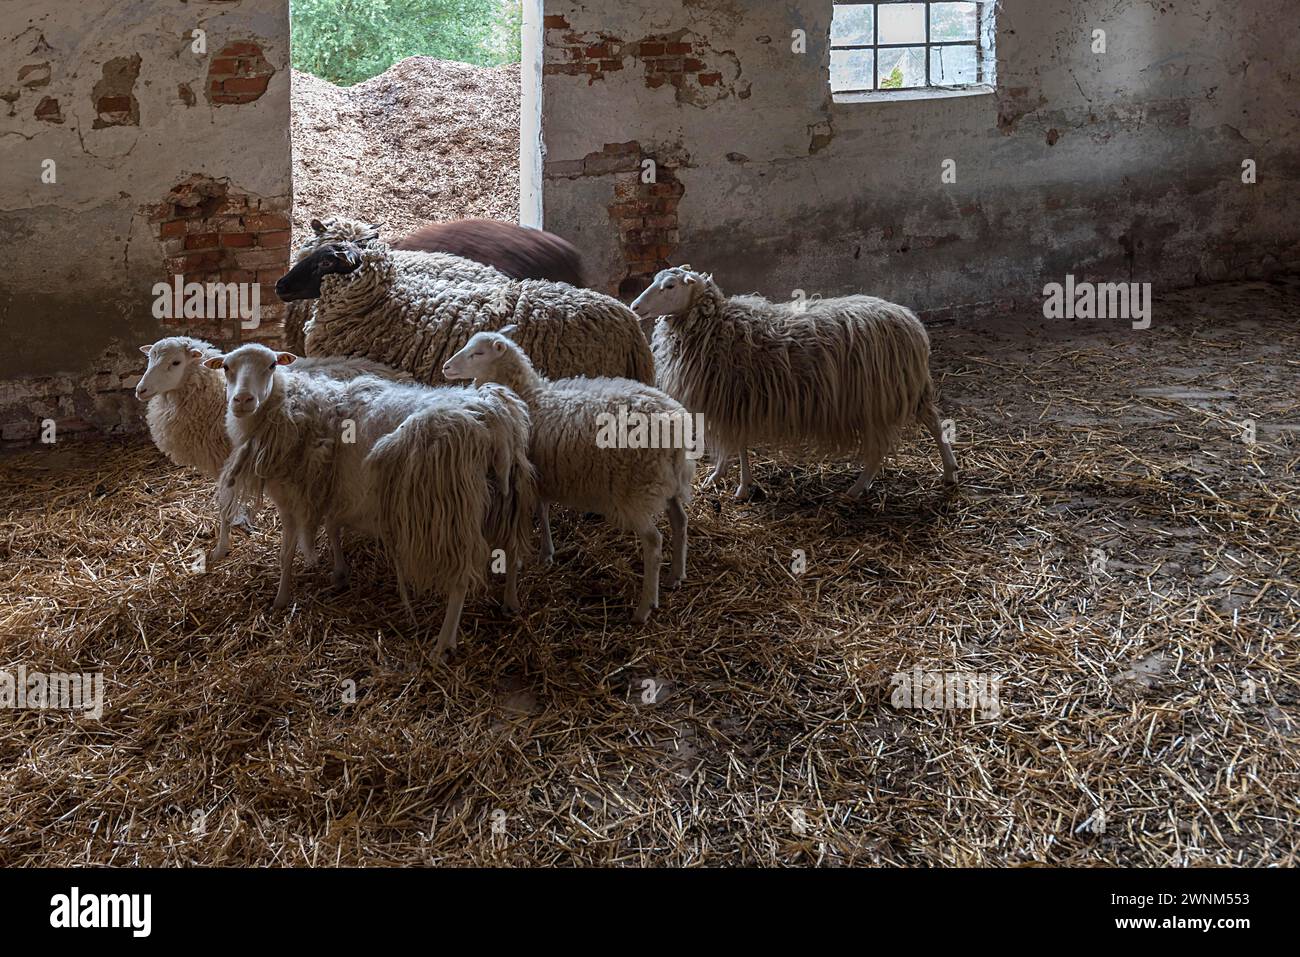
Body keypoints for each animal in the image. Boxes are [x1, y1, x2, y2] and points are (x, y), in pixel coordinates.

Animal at [209, 343, 535, 657]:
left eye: (272, 365)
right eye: (226, 367)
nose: (242, 400)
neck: (290, 406)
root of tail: (491, 414)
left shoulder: (291, 498)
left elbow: (287, 553)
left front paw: (281, 598)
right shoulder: (339, 486)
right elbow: (333, 526)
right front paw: (340, 573)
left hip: (447, 509)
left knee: (460, 579)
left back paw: (443, 644)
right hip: (509, 496)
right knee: (512, 548)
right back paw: (511, 603)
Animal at [442, 330, 695, 623]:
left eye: (478, 353)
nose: (446, 367)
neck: (530, 397)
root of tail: (675, 425)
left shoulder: (528, 477)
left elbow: (538, 513)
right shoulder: (541, 476)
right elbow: (543, 511)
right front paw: (547, 553)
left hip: (635, 491)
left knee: (654, 542)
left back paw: (644, 608)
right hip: (668, 483)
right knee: (680, 520)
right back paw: (676, 575)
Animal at [630, 266, 958, 501]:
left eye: (670, 287)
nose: (634, 306)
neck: (716, 325)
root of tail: (911, 321)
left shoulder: (734, 401)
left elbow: (737, 447)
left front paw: (741, 488)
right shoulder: (726, 402)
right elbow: (728, 448)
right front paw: (716, 477)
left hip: (878, 398)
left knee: (880, 448)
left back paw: (855, 490)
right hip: (905, 389)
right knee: (933, 420)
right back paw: (950, 471)